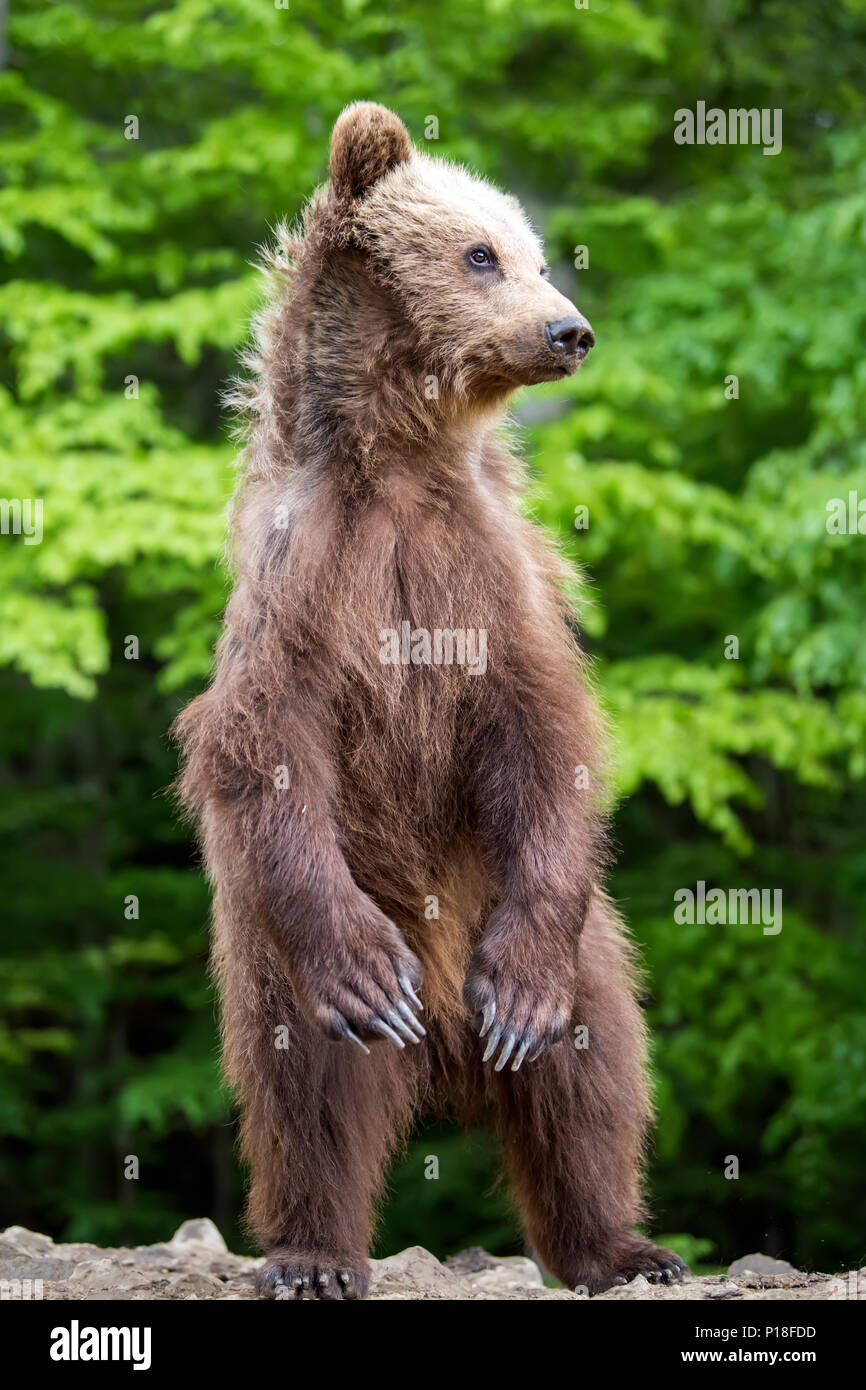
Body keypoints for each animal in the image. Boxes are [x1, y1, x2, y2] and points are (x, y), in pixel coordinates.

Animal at [173, 102, 687, 1299]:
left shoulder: (493, 581)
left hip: (563, 935)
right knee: (306, 1086)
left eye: (537, 255)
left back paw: (621, 1243)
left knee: (591, 1068)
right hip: (281, 952)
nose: (569, 330)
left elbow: (545, 733)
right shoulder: (302, 579)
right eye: (479, 253)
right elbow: (264, 742)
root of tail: (445, 1033)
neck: (400, 460)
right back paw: (313, 1251)